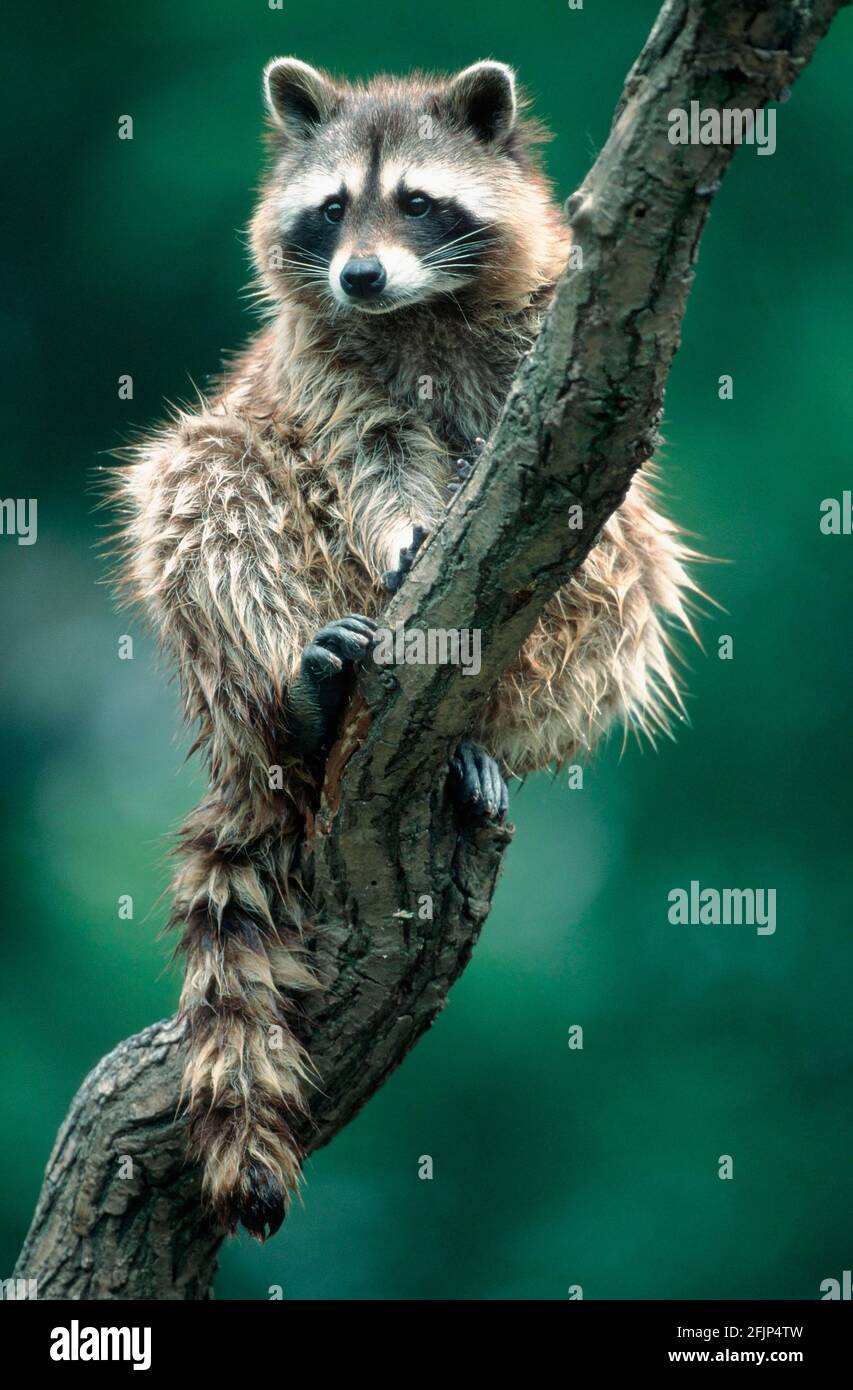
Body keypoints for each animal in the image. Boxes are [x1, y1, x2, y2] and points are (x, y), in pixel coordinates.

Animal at [111, 57, 697, 1238]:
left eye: (419, 203)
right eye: (332, 209)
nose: (362, 276)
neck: (421, 309)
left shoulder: (544, 347)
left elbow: (600, 510)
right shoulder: (322, 363)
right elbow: (367, 457)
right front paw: (397, 533)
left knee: (633, 570)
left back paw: (484, 737)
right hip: (242, 588)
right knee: (207, 474)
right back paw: (298, 696)